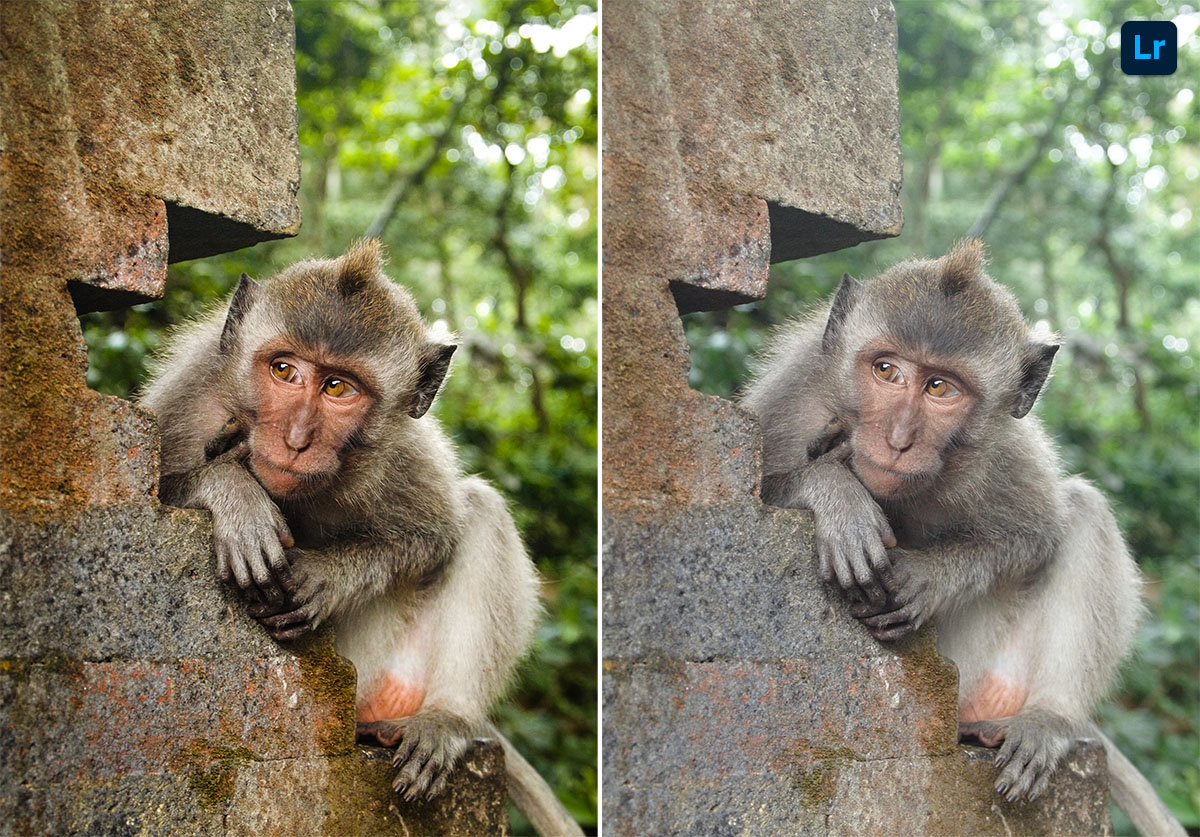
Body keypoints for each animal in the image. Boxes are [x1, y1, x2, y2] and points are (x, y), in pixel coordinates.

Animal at [138, 240, 584, 837]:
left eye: (337, 387)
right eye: (283, 370)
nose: (295, 439)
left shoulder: (400, 447)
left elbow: (435, 534)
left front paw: (326, 578)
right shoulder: (193, 390)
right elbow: (159, 487)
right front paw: (234, 491)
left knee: (482, 512)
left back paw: (445, 718)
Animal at [741, 239, 1184, 836]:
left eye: (939, 387)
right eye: (886, 370)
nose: (898, 439)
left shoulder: (1003, 447)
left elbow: (1037, 532)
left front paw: (929, 578)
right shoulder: (797, 392)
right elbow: (760, 488)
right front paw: (836, 492)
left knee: (1084, 512)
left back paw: (1048, 718)